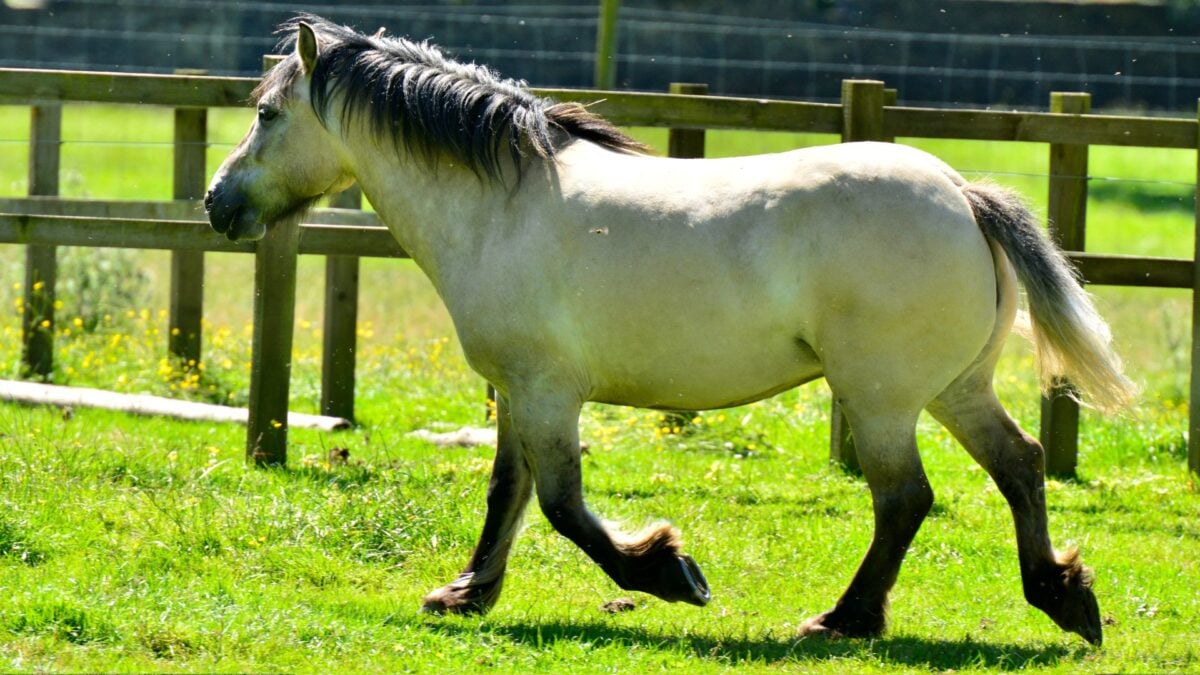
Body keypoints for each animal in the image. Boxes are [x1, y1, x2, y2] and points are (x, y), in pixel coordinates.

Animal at [205, 15, 1135, 645]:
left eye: (268, 116)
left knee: (905, 497)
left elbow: (563, 505)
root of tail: (963, 194)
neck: (502, 204)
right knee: (1021, 464)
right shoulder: (516, 390)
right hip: (950, 388)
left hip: (879, 399)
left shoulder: (546, 391)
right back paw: (1064, 597)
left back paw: (845, 619)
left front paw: (668, 570)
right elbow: (507, 493)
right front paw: (466, 592)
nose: (218, 205)